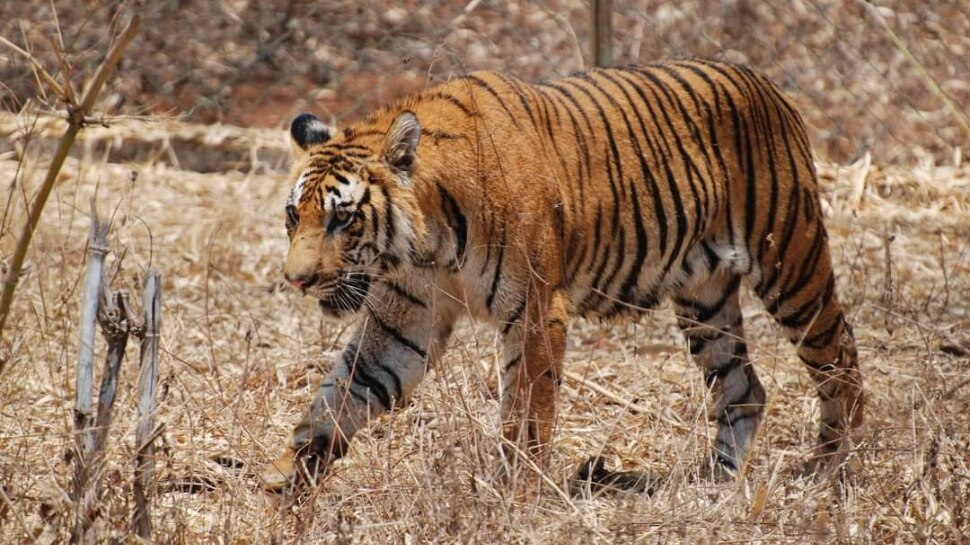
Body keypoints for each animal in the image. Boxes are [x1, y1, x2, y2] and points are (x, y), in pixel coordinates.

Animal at [261, 59, 865, 492]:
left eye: (343, 218)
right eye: (294, 215)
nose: (296, 281)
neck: (426, 244)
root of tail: (766, 84)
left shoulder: (534, 312)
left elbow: (526, 415)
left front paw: (513, 495)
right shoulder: (403, 321)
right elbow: (340, 397)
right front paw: (285, 487)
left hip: (792, 264)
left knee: (839, 357)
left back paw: (836, 469)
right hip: (706, 301)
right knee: (743, 387)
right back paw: (713, 483)